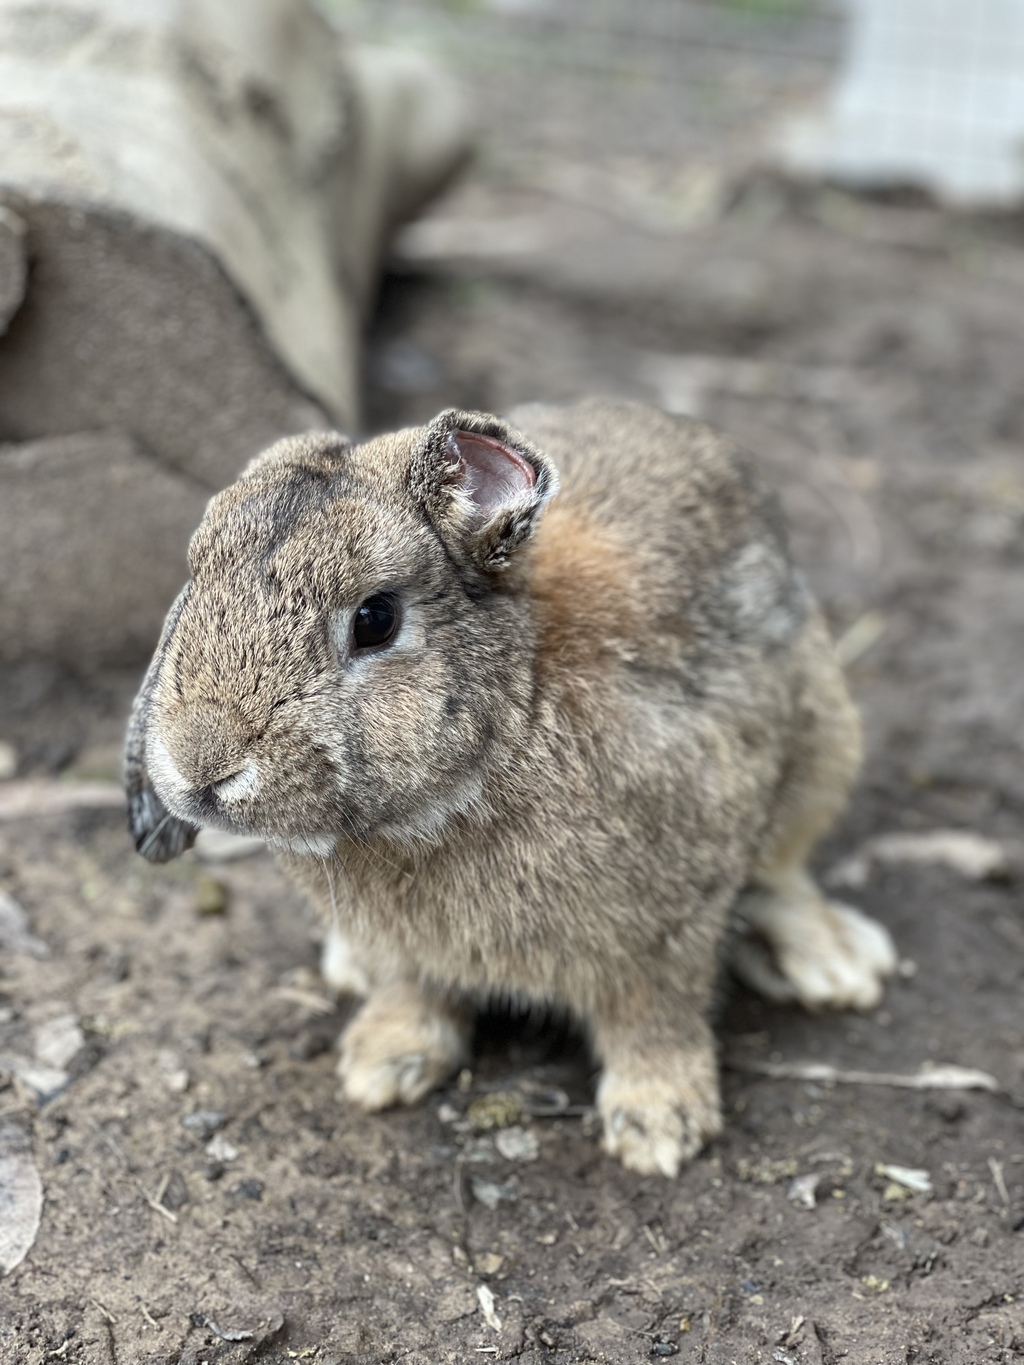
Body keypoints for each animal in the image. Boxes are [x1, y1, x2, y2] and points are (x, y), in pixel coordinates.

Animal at [124, 398, 897, 1177]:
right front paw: (381, 1065)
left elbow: (655, 1015)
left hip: (822, 747)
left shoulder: (672, 916)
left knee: (786, 872)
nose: (200, 768)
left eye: (375, 619)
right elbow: (411, 989)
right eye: (198, 582)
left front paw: (659, 1129)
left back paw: (839, 967)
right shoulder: (406, 949)